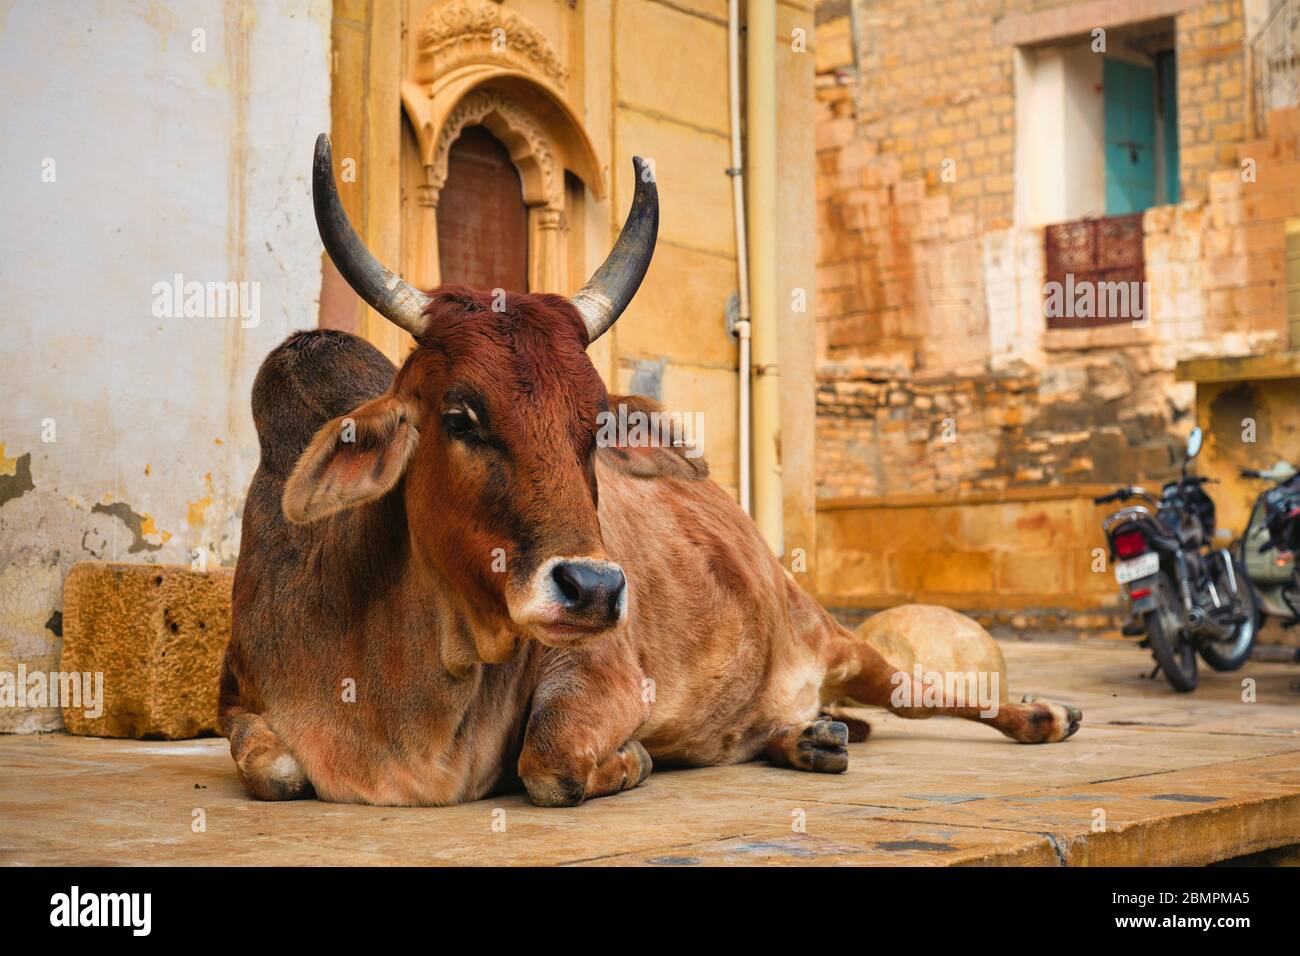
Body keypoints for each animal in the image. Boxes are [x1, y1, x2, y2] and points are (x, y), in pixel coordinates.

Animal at [218, 134, 1081, 808]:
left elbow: (551, 763)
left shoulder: (599, 669)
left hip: (837, 638)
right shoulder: (240, 700)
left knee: (923, 692)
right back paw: (814, 737)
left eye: (595, 424)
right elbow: (278, 770)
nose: (595, 589)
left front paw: (632, 759)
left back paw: (1040, 716)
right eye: (460, 416)